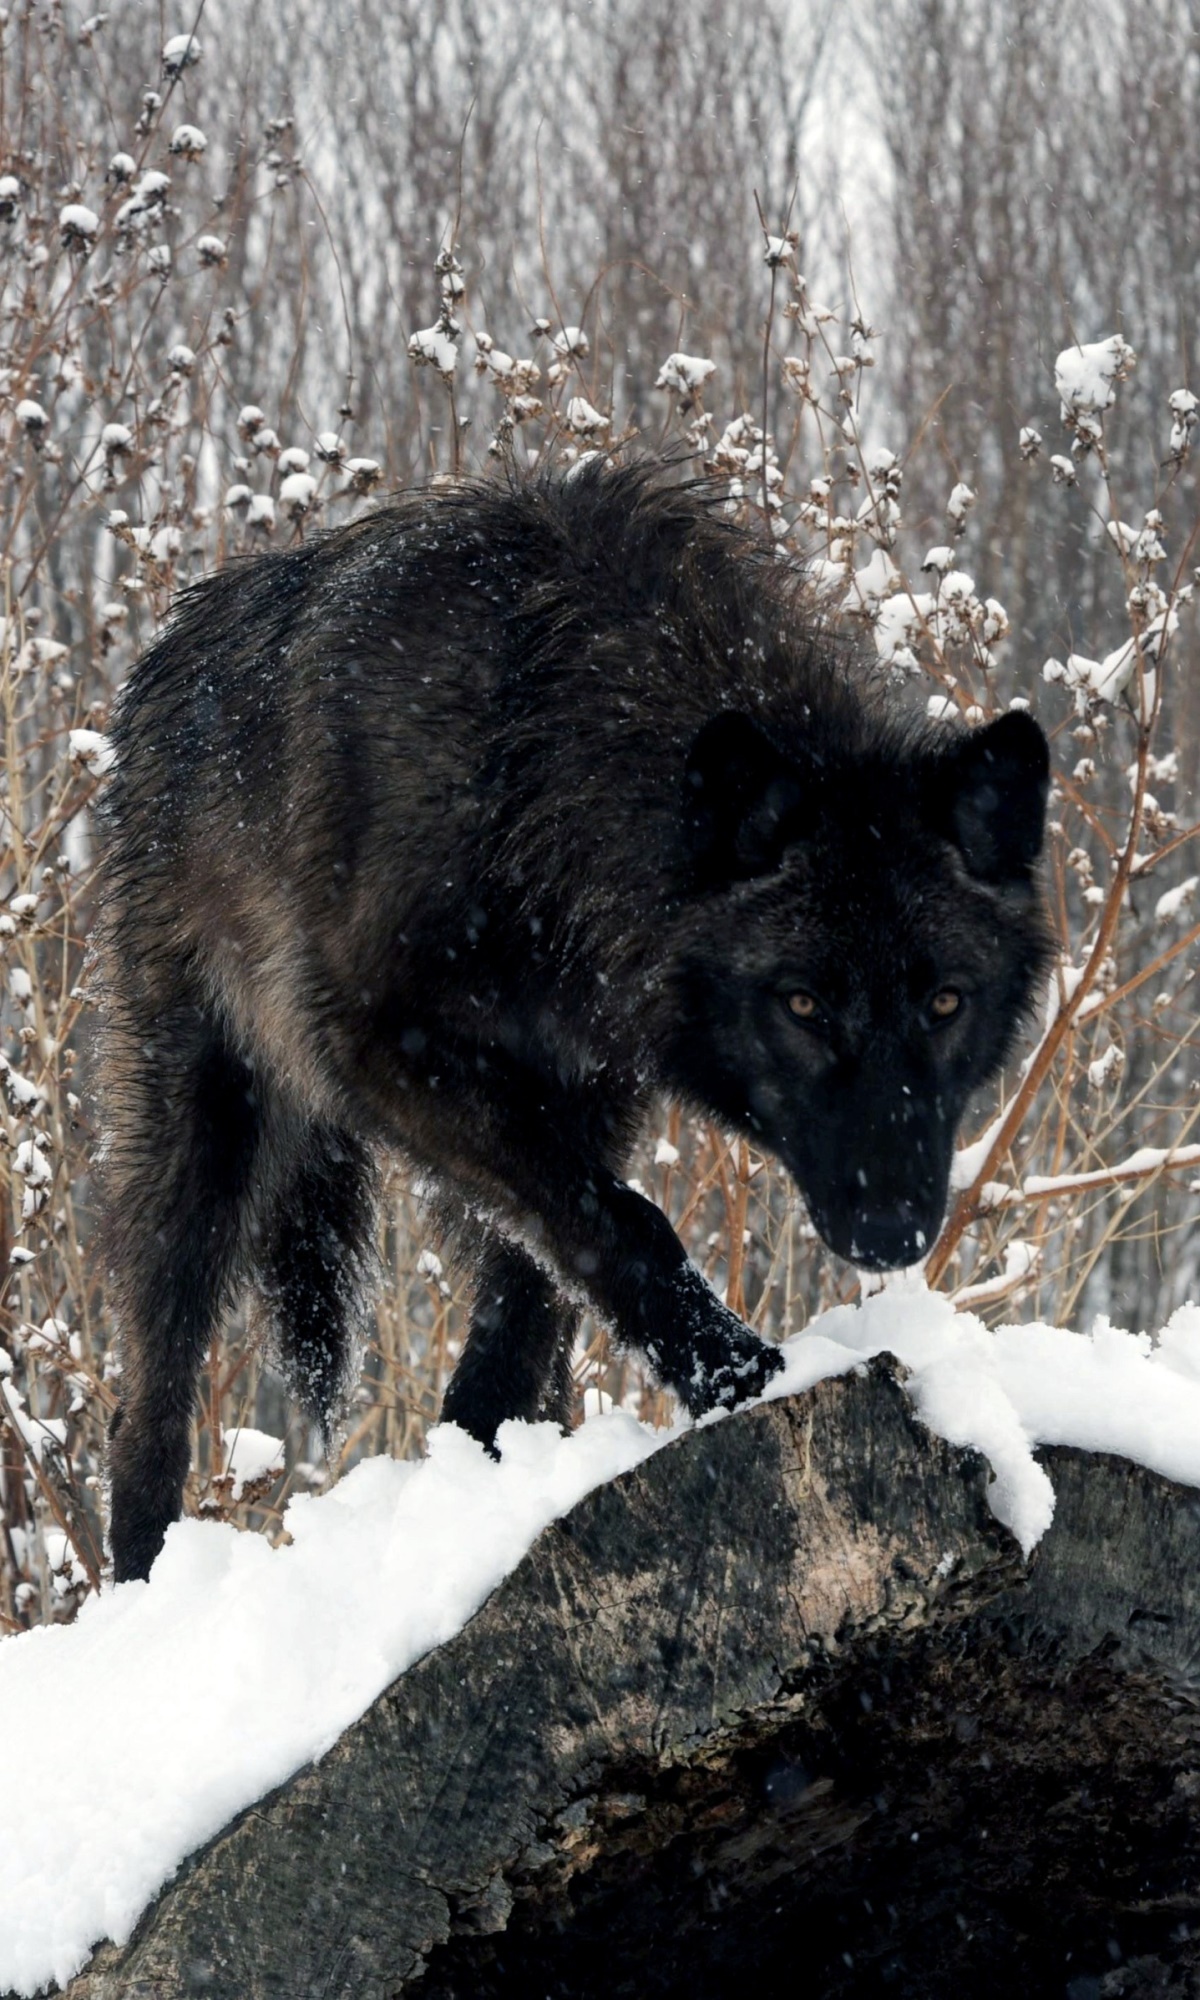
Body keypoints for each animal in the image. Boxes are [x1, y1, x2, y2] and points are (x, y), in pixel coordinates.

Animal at [97, 460, 1051, 1581]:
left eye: (945, 1002)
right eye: (803, 1004)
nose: (892, 1226)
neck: (541, 754)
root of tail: (174, 648)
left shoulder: (587, 1094)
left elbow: (541, 1294)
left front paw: (491, 1477)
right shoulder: (384, 1051)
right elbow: (623, 1224)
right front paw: (737, 1372)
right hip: (208, 1137)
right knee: (151, 1388)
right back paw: (145, 1581)